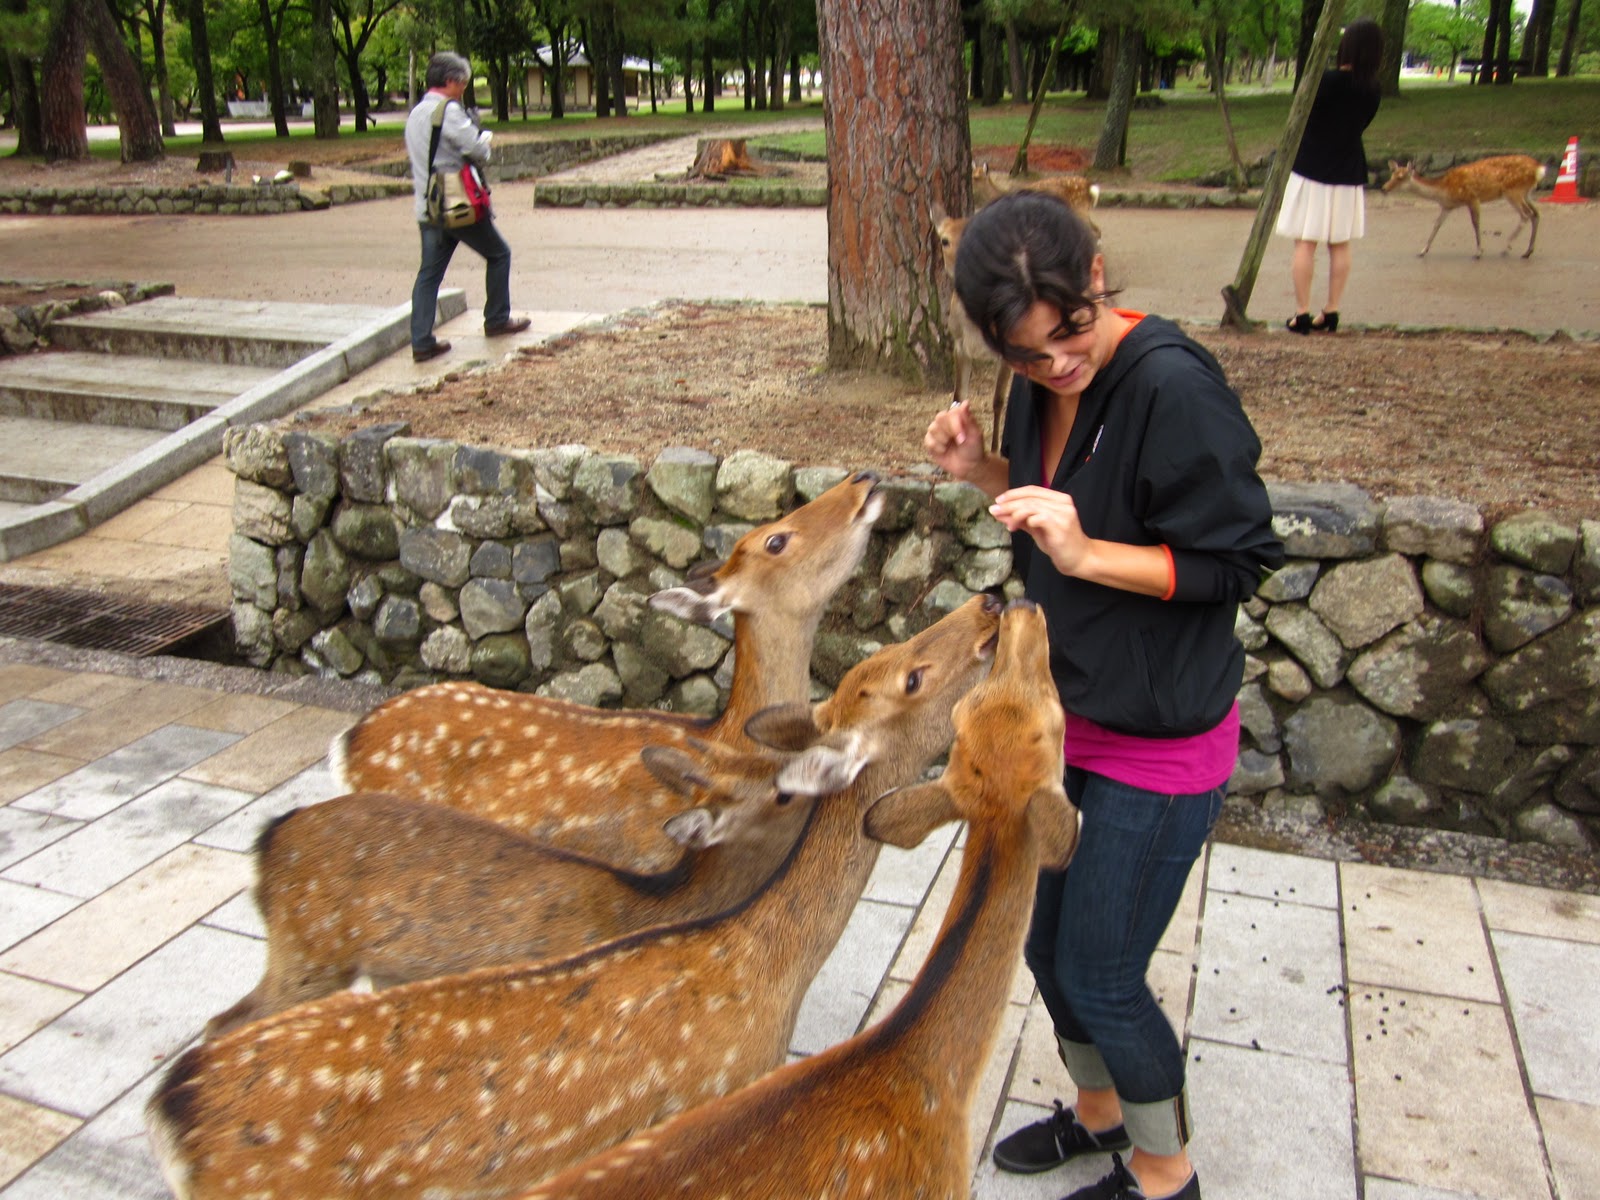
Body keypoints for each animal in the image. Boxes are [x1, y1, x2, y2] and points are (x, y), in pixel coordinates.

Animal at [932, 201, 1014, 455]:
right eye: (944, 240)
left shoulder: (1006, 353)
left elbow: (998, 400)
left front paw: (995, 449)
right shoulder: (959, 345)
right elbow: (959, 396)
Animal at [1381, 155, 1546, 259]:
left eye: (1400, 177)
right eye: (1391, 175)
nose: (1383, 188)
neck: (1444, 190)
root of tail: (1539, 169)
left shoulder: (1472, 198)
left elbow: (1476, 223)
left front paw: (1479, 252)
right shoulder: (1447, 206)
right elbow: (1436, 225)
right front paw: (1422, 251)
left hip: (1513, 191)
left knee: (1526, 214)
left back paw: (1506, 247)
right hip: (1527, 193)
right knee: (1536, 214)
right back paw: (1527, 252)